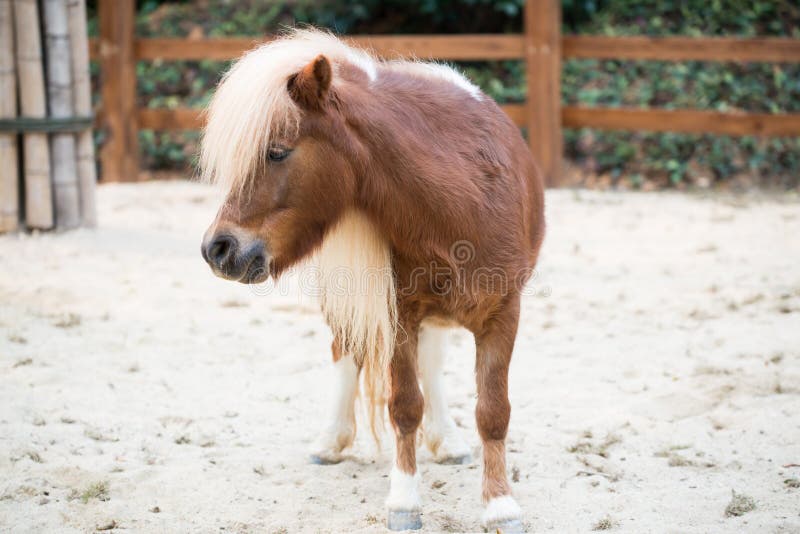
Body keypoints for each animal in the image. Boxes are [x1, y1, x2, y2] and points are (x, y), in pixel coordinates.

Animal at [199, 29, 545, 532]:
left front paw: (500, 504)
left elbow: (493, 410)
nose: (217, 249)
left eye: (277, 151)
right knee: (347, 355)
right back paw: (331, 442)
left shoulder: (503, 313)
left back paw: (447, 440)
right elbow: (404, 405)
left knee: (431, 364)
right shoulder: (397, 313)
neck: (462, 200)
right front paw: (404, 501)